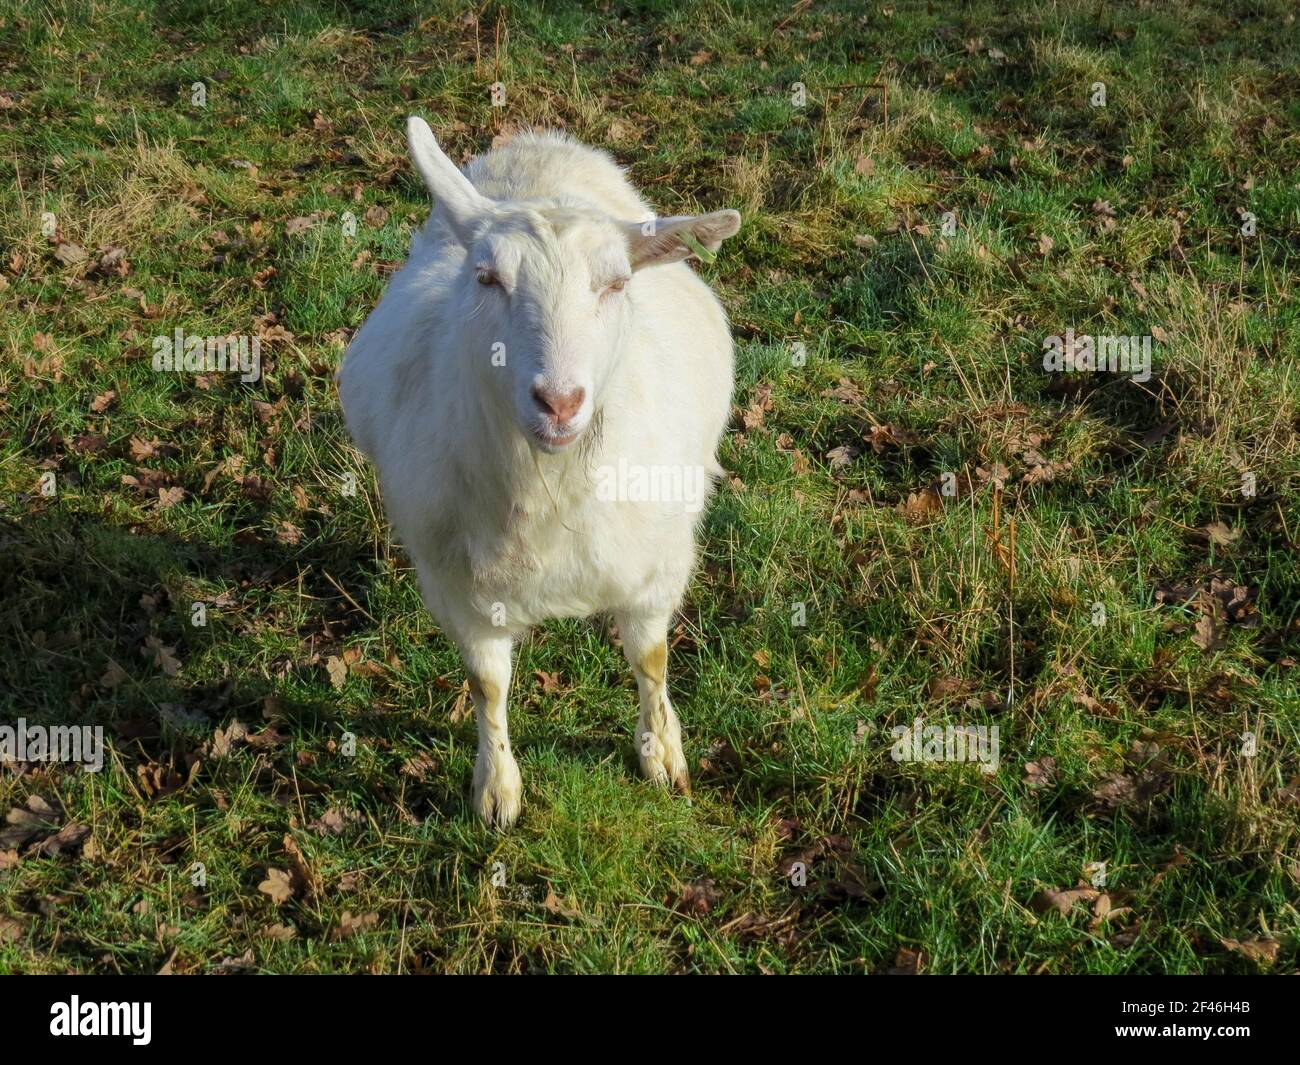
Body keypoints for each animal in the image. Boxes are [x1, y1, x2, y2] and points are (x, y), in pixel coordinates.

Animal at [338, 117, 740, 828]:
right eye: (486, 277)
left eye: (616, 284)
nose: (558, 402)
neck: (550, 486)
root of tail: (540, 145)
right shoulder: (459, 589)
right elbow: (487, 685)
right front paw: (496, 790)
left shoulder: (656, 566)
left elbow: (650, 658)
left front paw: (661, 753)